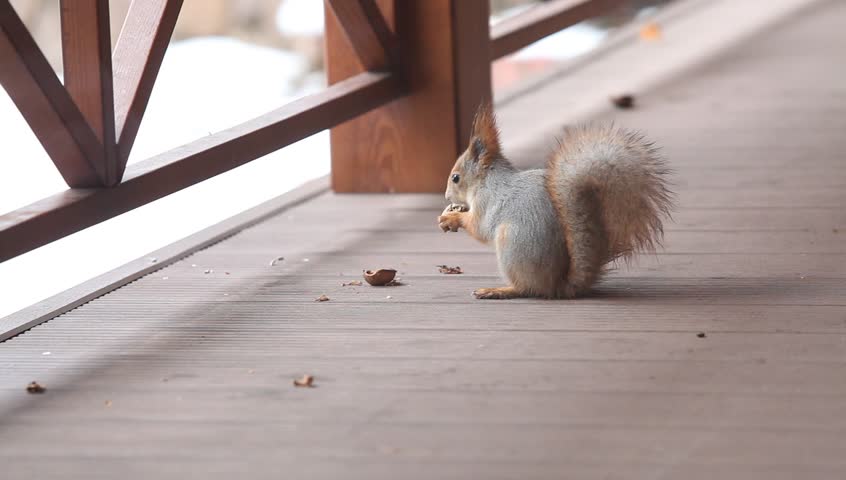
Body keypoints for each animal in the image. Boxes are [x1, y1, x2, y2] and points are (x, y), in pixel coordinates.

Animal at [437, 104, 674, 299]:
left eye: (456, 178)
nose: (447, 196)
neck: (486, 179)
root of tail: (556, 285)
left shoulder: (487, 201)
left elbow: (480, 228)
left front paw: (452, 217)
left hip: (511, 243)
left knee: (527, 288)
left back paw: (499, 290)